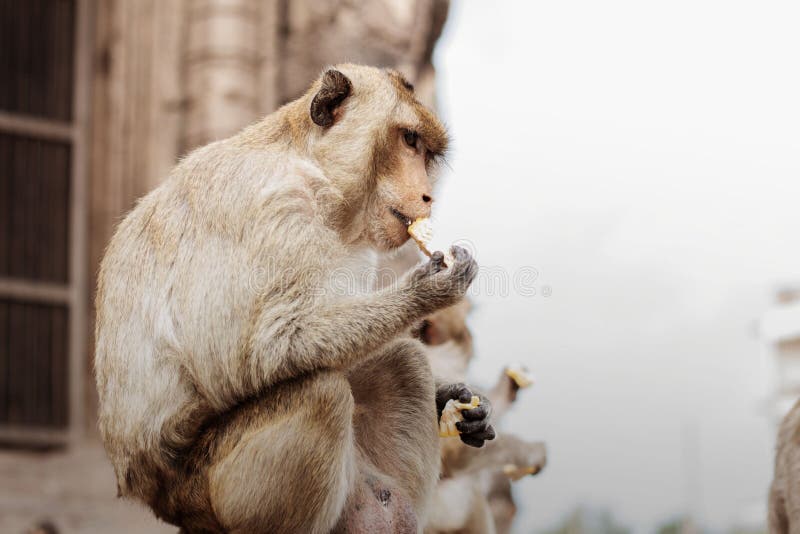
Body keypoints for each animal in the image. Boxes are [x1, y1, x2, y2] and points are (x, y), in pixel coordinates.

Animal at [94, 64, 497, 533]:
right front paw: (430, 288)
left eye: (425, 151)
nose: (428, 196)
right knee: (323, 395)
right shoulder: (270, 204)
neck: (314, 172)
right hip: (210, 489)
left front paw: (453, 398)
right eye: (409, 140)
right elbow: (262, 352)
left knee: (400, 363)